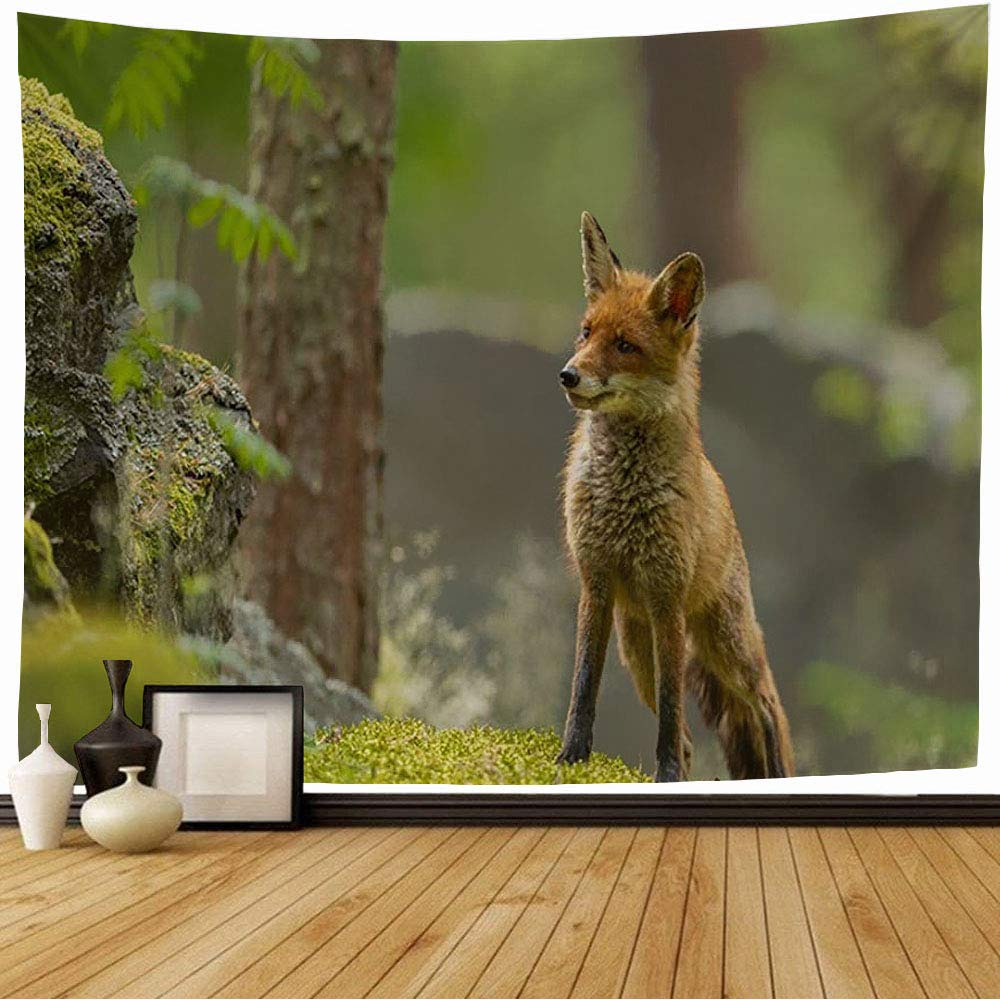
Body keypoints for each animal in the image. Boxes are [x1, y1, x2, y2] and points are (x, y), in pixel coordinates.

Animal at [556, 212, 793, 782]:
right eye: (586, 331)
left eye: (625, 345)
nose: (568, 374)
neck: (622, 491)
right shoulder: (596, 585)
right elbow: (584, 687)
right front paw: (571, 757)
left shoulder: (667, 597)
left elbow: (669, 711)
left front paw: (663, 775)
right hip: (636, 648)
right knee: (690, 736)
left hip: (727, 646)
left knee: (764, 704)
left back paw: (774, 773)